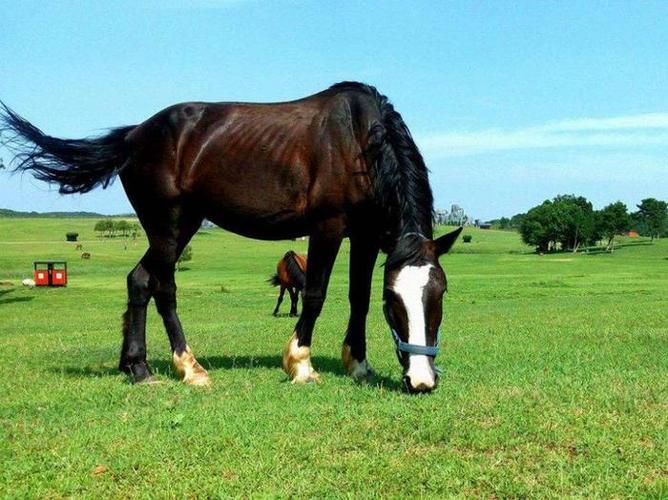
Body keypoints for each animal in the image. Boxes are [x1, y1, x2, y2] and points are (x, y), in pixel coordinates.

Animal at [1, 82, 462, 393]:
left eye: (438, 294)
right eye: (395, 300)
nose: (422, 381)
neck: (357, 140)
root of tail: (133, 135)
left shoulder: (365, 235)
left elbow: (358, 299)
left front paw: (359, 365)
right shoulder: (327, 228)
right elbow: (315, 294)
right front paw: (300, 363)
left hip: (180, 226)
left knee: (139, 281)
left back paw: (138, 367)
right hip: (168, 227)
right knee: (163, 288)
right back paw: (189, 368)